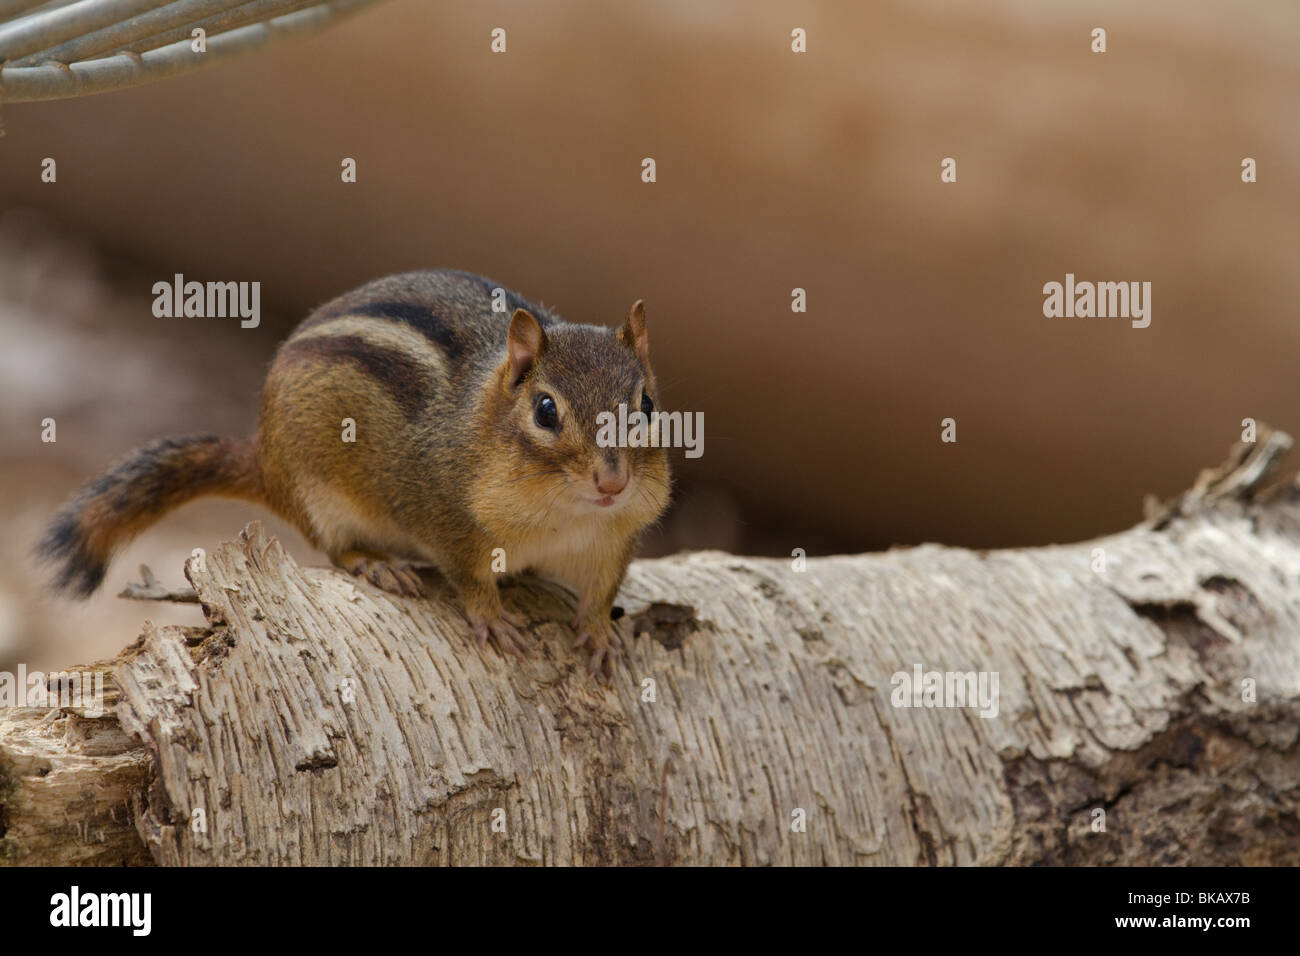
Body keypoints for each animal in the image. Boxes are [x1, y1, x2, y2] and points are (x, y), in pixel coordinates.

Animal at [38, 269, 672, 677]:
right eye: (545, 411)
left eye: (646, 405)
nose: (613, 483)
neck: (563, 517)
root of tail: (266, 457)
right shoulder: (448, 520)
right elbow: (468, 579)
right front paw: (492, 618)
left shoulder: (613, 542)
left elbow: (602, 591)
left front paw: (600, 635)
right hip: (322, 497)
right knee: (335, 548)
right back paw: (378, 563)